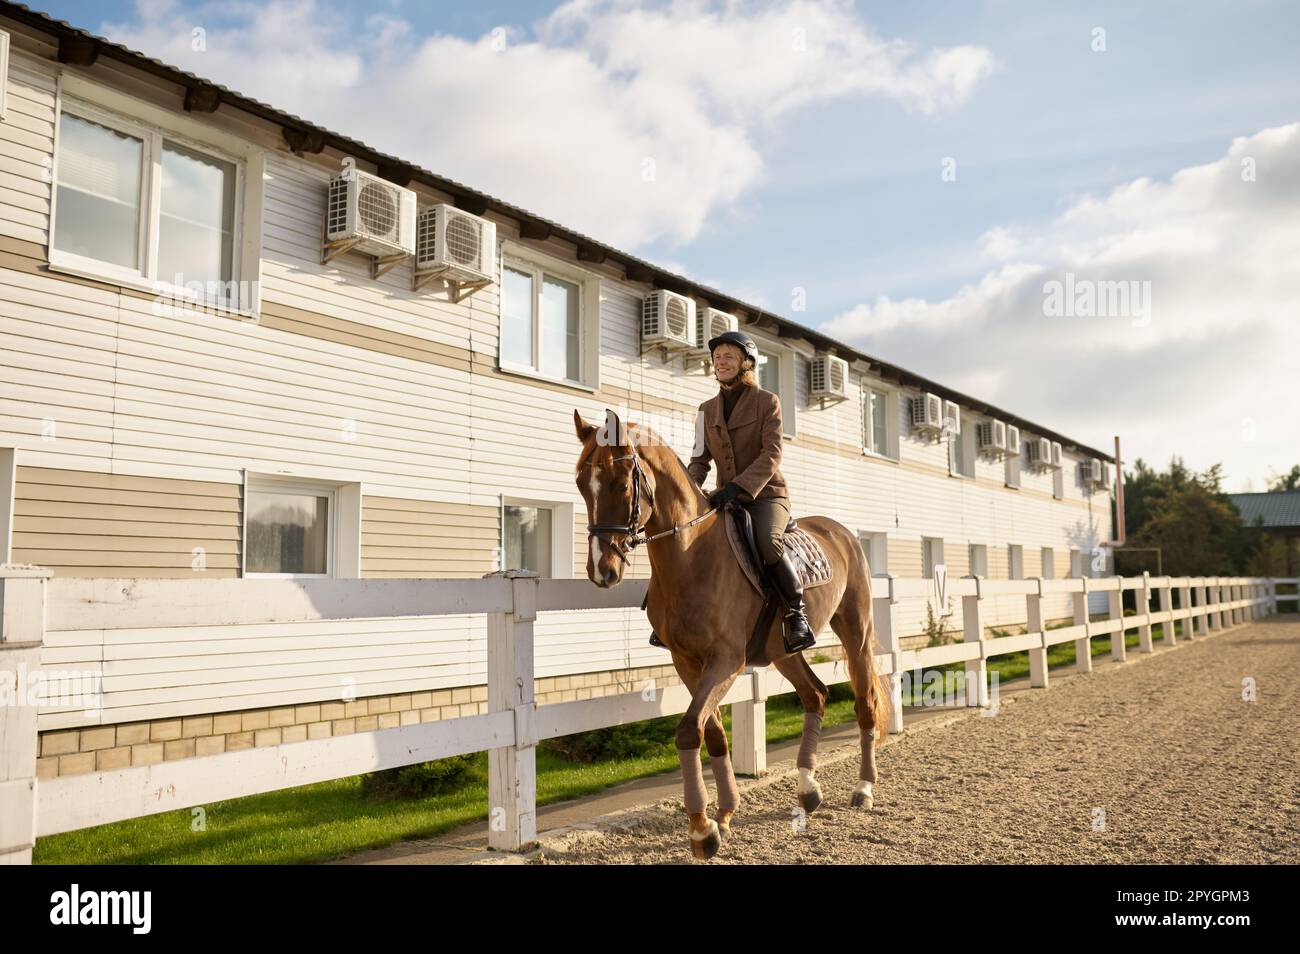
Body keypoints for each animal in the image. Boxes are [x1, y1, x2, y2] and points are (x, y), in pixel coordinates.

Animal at [573, 408, 889, 860]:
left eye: (620, 483)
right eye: (582, 484)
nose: (602, 570)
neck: (692, 555)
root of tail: (839, 531)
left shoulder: (726, 661)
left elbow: (689, 729)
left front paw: (701, 829)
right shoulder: (687, 662)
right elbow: (714, 733)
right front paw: (721, 816)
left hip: (856, 634)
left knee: (864, 703)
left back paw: (863, 789)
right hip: (784, 651)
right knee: (815, 695)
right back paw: (808, 789)